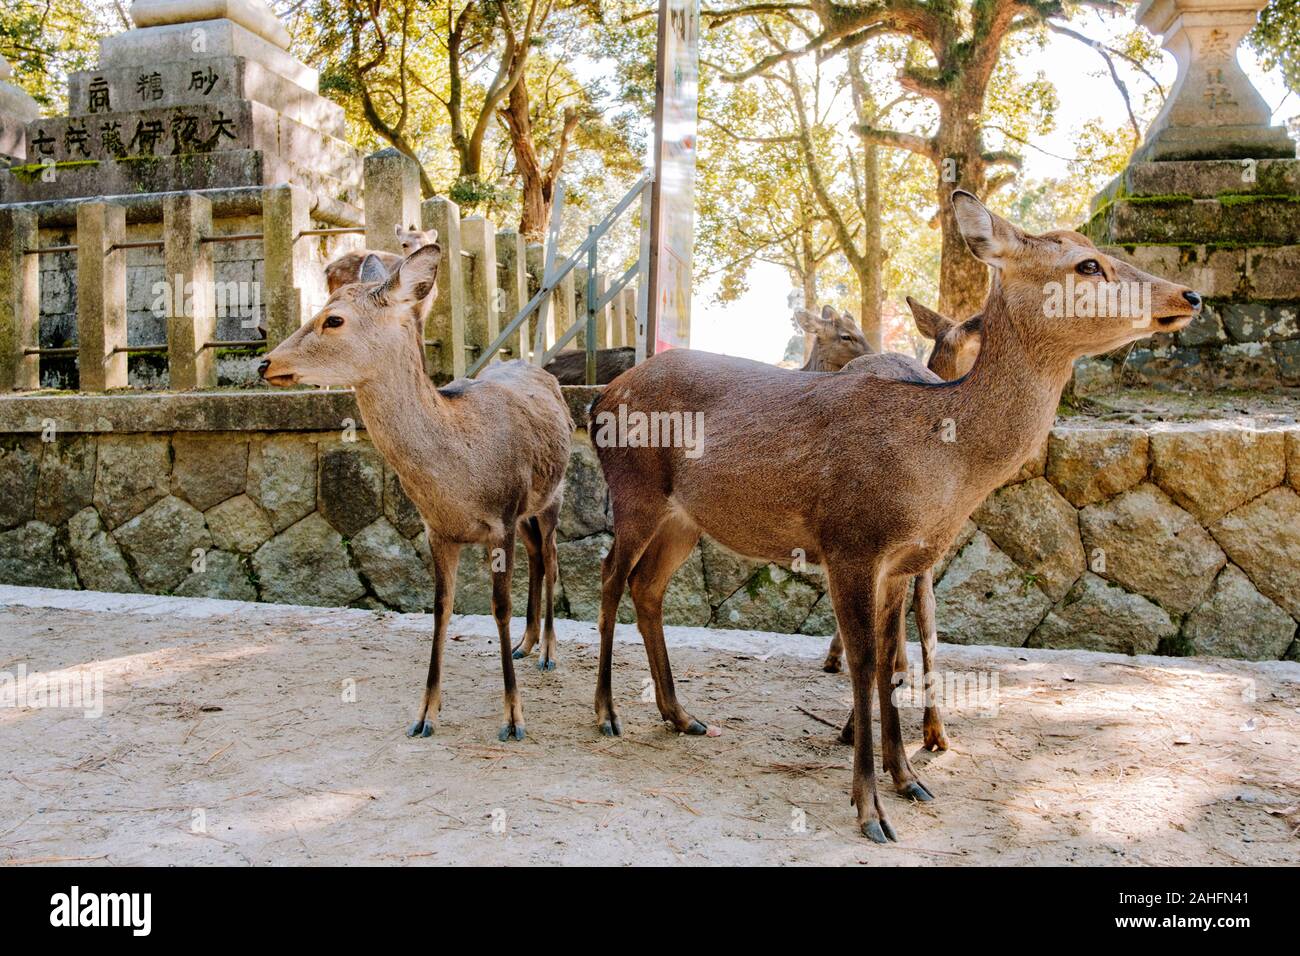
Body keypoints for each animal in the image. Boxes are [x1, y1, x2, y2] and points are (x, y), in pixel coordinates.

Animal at [258, 245, 573, 743]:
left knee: (554, 557)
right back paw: (526, 646)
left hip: (552, 495)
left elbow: (497, 608)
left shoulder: (501, 518)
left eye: (334, 319)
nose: (264, 363)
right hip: (527, 512)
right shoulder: (438, 530)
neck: (459, 475)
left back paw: (548, 652)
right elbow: (440, 610)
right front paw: (425, 714)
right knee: (539, 558)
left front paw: (513, 719)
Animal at [588, 190, 1200, 842]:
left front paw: (909, 777)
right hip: (634, 492)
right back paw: (607, 713)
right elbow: (861, 663)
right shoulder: (850, 544)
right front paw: (870, 809)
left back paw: (682, 716)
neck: (943, 464)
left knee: (647, 587)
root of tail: (598, 399)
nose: (1189, 296)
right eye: (1088, 264)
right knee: (609, 578)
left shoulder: (905, 560)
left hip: (685, 519)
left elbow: (890, 658)